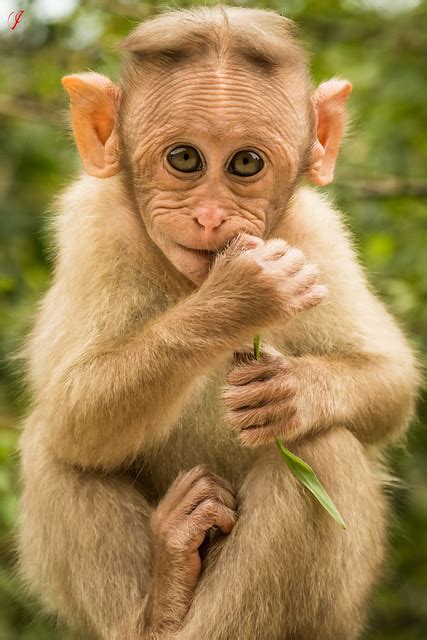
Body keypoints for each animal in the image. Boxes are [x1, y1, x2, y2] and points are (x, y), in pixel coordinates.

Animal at [17, 6, 419, 640]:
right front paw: (241, 296)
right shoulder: (95, 224)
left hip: (335, 616)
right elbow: (71, 408)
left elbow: (391, 380)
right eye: (184, 158)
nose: (209, 217)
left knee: (320, 447)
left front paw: (292, 391)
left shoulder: (317, 232)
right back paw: (163, 595)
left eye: (245, 163)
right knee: (56, 450)